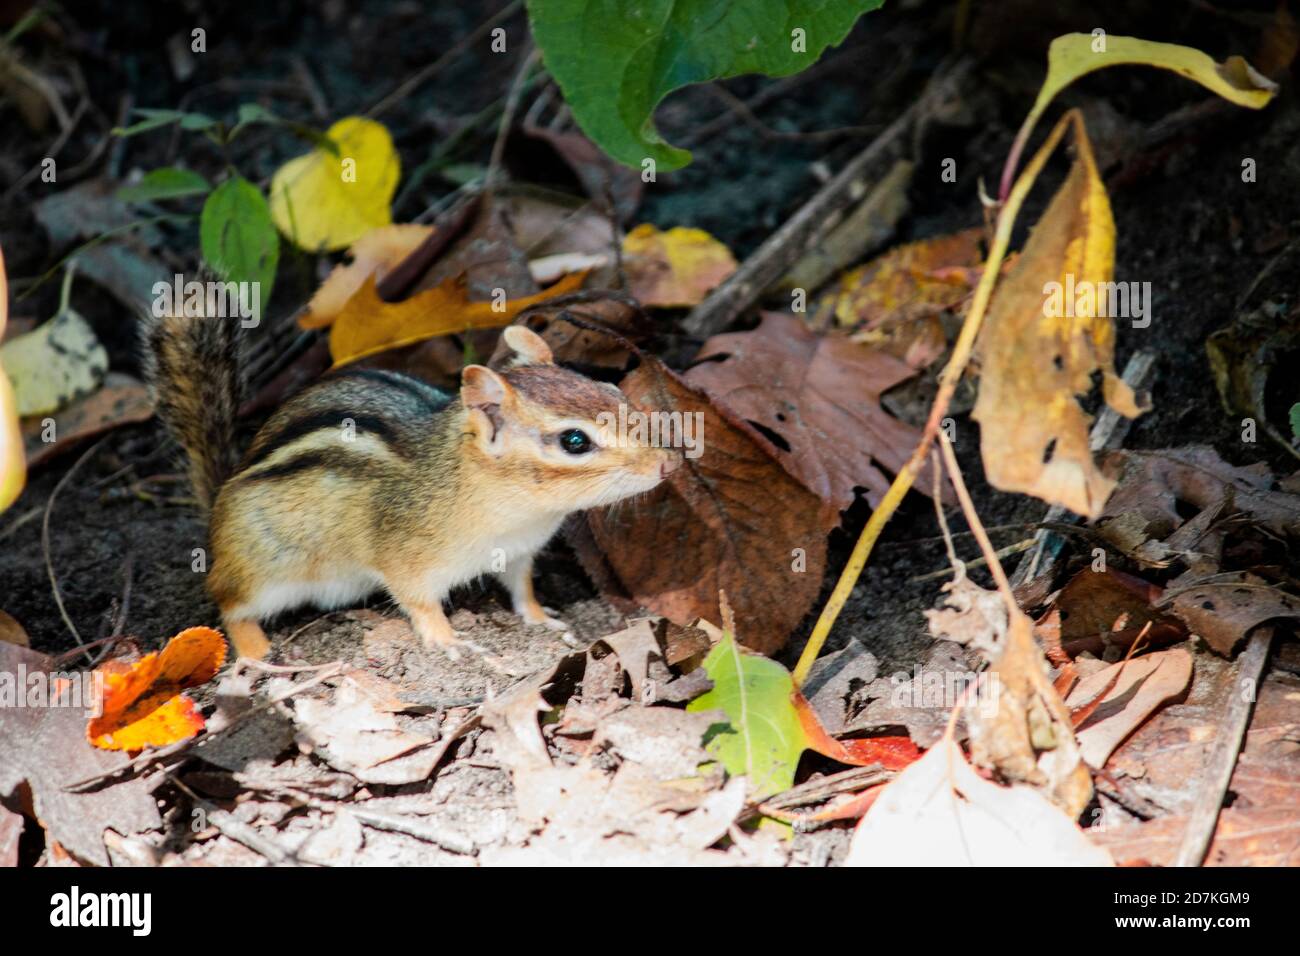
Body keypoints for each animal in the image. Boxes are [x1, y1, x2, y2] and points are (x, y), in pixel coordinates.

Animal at [142, 313, 679, 661]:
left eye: (612, 392)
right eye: (574, 441)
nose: (668, 464)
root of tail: (219, 500)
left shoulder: (519, 553)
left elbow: (522, 587)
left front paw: (540, 617)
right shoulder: (407, 558)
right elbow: (419, 601)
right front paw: (448, 640)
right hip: (263, 566)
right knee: (228, 603)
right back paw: (257, 653)